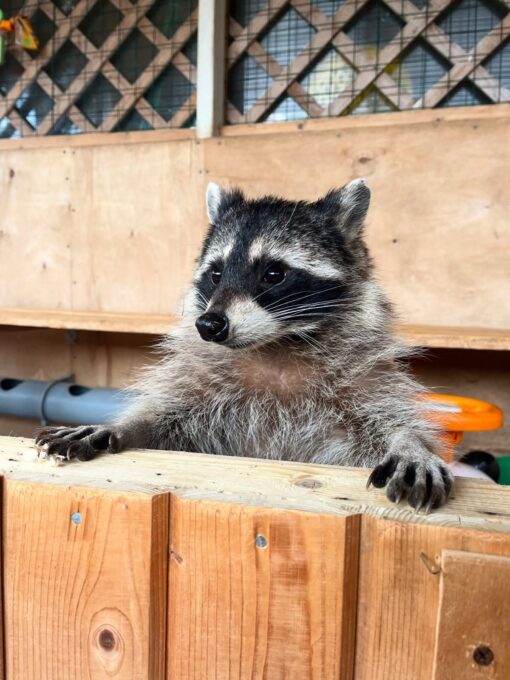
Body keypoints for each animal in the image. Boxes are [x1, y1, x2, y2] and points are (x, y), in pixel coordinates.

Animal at [36, 179, 453, 510]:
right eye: (216, 273)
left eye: (274, 273)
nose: (209, 325)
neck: (275, 345)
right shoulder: (203, 387)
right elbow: (166, 423)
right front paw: (124, 426)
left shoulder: (363, 380)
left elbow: (389, 421)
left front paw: (409, 444)